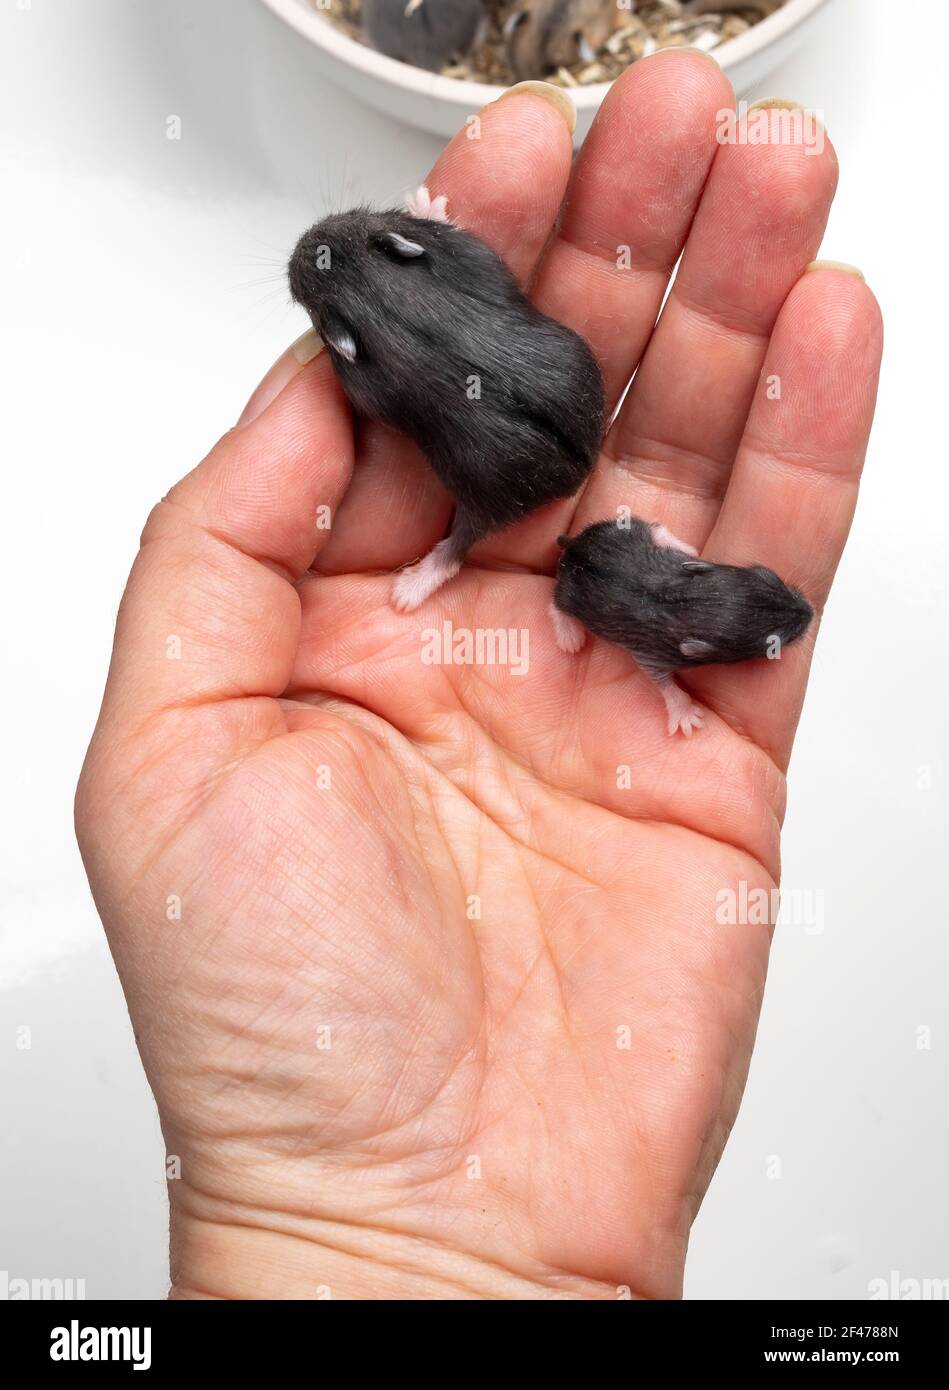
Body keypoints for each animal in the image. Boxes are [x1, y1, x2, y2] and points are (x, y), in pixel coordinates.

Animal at [289, 186, 605, 611]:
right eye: (353, 217)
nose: (301, 242)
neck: (368, 286)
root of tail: (581, 468)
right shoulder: (470, 255)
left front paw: (424, 202)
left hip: (483, 489)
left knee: (458, 550)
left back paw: (406, 593)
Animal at [552, 518, 813, 736]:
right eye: (774, 643)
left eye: (769, 575)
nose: (810, 612)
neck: (683, 601)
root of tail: (575, 545)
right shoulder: (652, 654)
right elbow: (662, 682)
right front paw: (686, 716)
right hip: (571, 594)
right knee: (556, 605)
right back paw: (569, 637)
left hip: (620, 529)